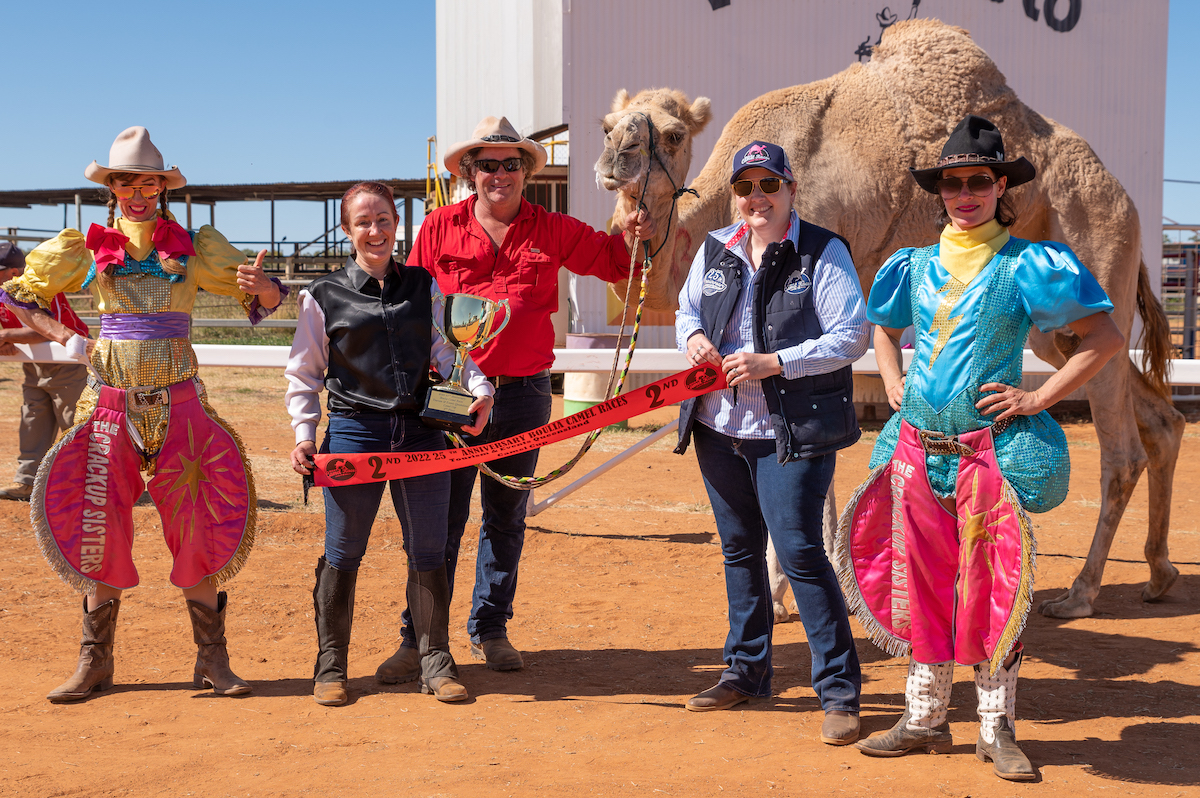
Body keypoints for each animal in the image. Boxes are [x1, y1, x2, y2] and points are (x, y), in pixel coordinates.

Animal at [593, 18, 1184, 620]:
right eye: (608, 126)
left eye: (671, 135)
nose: (616, 156)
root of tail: (1127, 200)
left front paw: (792, 588)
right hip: (1056, 331)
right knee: (1160, 418)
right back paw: (1159, 575)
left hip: (1096, 250)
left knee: (1122, 450)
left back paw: (1080, 593)